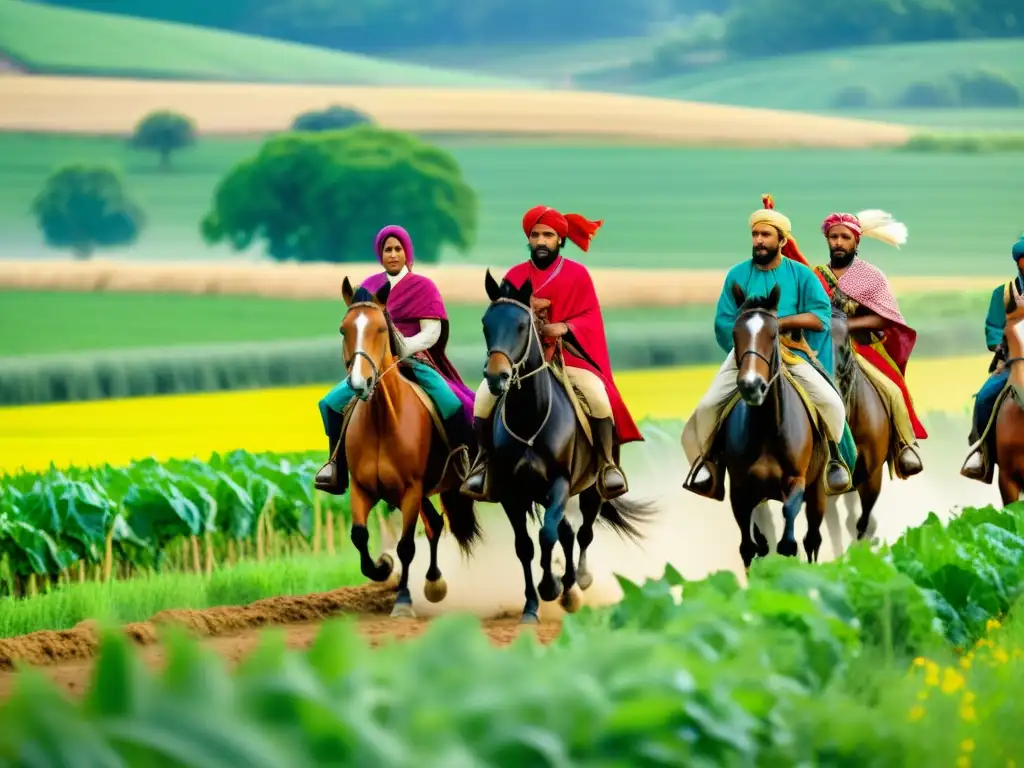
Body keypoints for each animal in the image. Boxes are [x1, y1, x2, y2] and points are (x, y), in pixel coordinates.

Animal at [333, 276, 481, 618]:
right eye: (344, 329)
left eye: (380, 329)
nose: (359, 383)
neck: (382, 420)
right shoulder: (362, 488)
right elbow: (359, 535)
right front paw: (382, 567)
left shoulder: (411, 489)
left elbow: (406, 546)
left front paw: (402, 601)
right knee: (436, 524)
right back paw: (434, 582)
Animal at [479, 270, 655, 626]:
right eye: (485, 323)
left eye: (522, 325)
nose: (496, 377)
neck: (530, 420)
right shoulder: (512, 493)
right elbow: (525, 546)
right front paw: (531, 606)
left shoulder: (559, 483)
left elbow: (547, 536)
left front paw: (551, 586)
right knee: (568, 532)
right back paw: (568, 587)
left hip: (591, 489)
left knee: (582, 531)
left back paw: (578, 583)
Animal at [724, 286, 827, 569]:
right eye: (735, 334)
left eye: (773, 335)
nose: (751, 385)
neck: (767, 429)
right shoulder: (740, 490)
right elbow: (748, 548)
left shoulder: (796, 481)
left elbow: (788, 542)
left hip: (818, 491)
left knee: (812, 540)